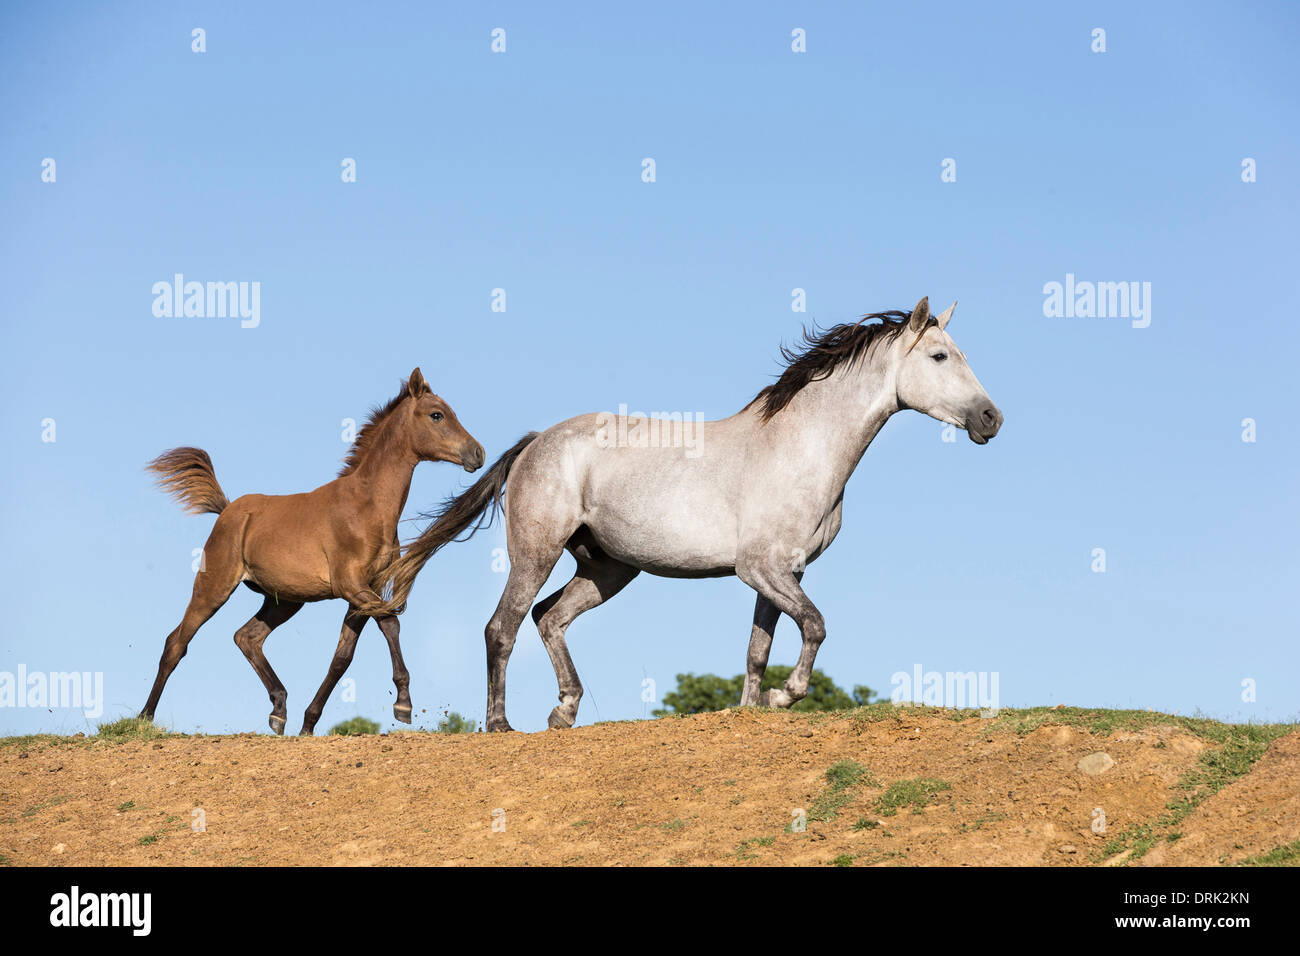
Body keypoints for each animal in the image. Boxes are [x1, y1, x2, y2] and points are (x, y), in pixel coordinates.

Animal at [140, 368, 485, 735]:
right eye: (437, 415)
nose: (478, 453)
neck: (365, 506)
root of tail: (227, 510)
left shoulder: (364, 592)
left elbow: (342, 658)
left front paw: (308, 724)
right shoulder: (351, 585)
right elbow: (391, 622)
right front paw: (403, 703)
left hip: (285, 600)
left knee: (246, 637)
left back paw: (279, 711)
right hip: (214, 586)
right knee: (177, 642)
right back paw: (144, 718)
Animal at [364, 297, 1002, 731]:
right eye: (940, 356)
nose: (991, 418)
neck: (800, 446)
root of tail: (537, 441)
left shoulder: (782, 574)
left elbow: (757, 649)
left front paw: (752, 708)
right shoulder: (762, 569)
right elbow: (816, 625)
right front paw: (785, 696)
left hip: (608, 568)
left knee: (549, 618)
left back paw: (564, 711)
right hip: (536, 553)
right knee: (504, 626)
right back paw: (500, 725)